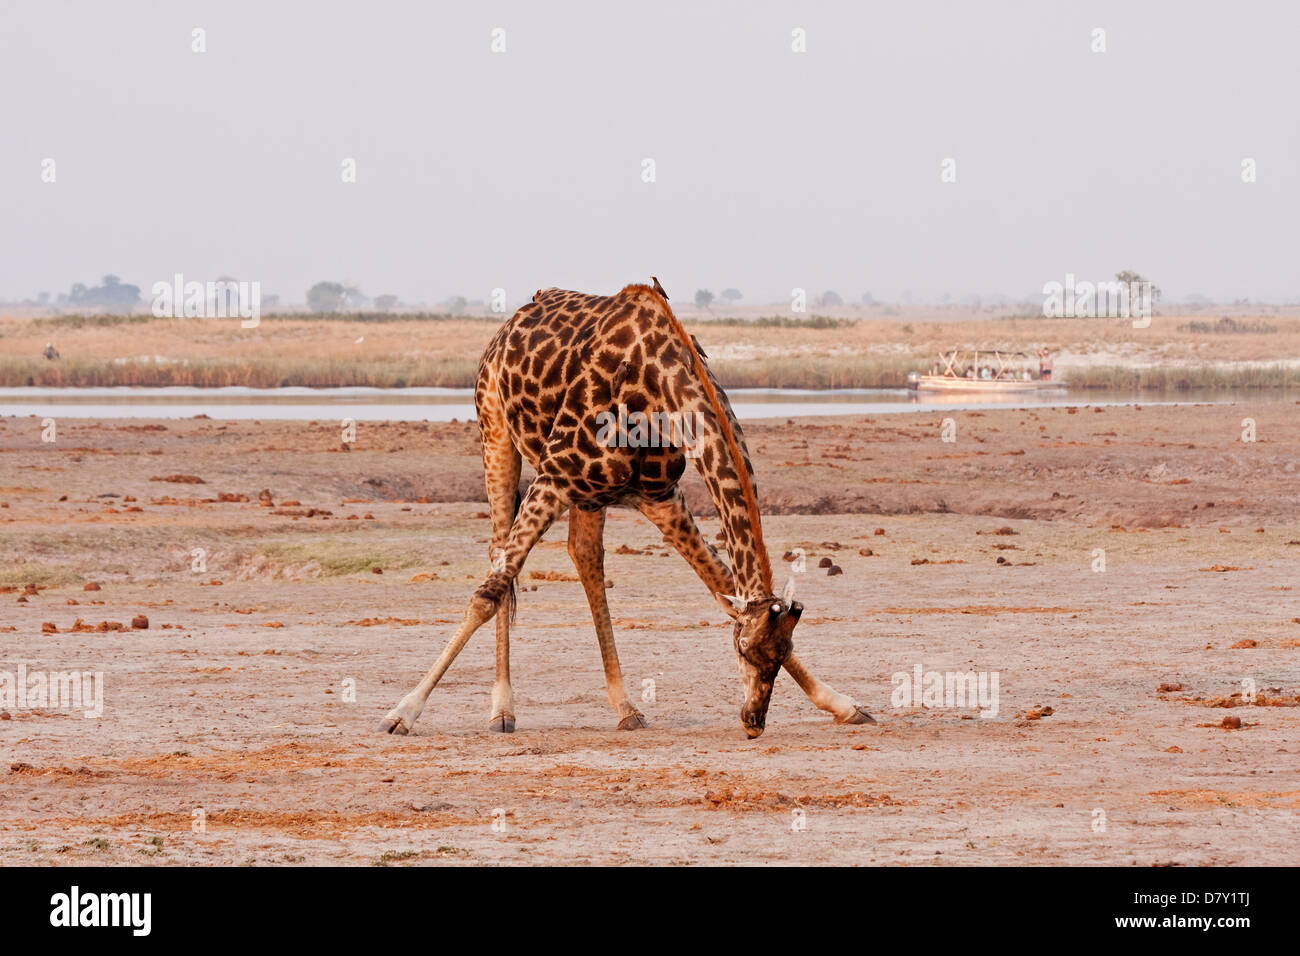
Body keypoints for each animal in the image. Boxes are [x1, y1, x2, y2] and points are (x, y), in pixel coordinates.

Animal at [378, 281, 875, 738]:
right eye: (745, 649)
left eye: (780, 654)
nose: (753, 721)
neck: (658, 383)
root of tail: (511, 322)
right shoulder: (554, 476)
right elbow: (487, 593)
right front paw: (403, 712)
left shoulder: (660, 495)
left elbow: (720, 582)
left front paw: (844, 704)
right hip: (497, 432)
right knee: (501, 558)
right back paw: (502, 709)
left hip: (588, 492)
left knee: (584, 557)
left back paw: (625, 707)